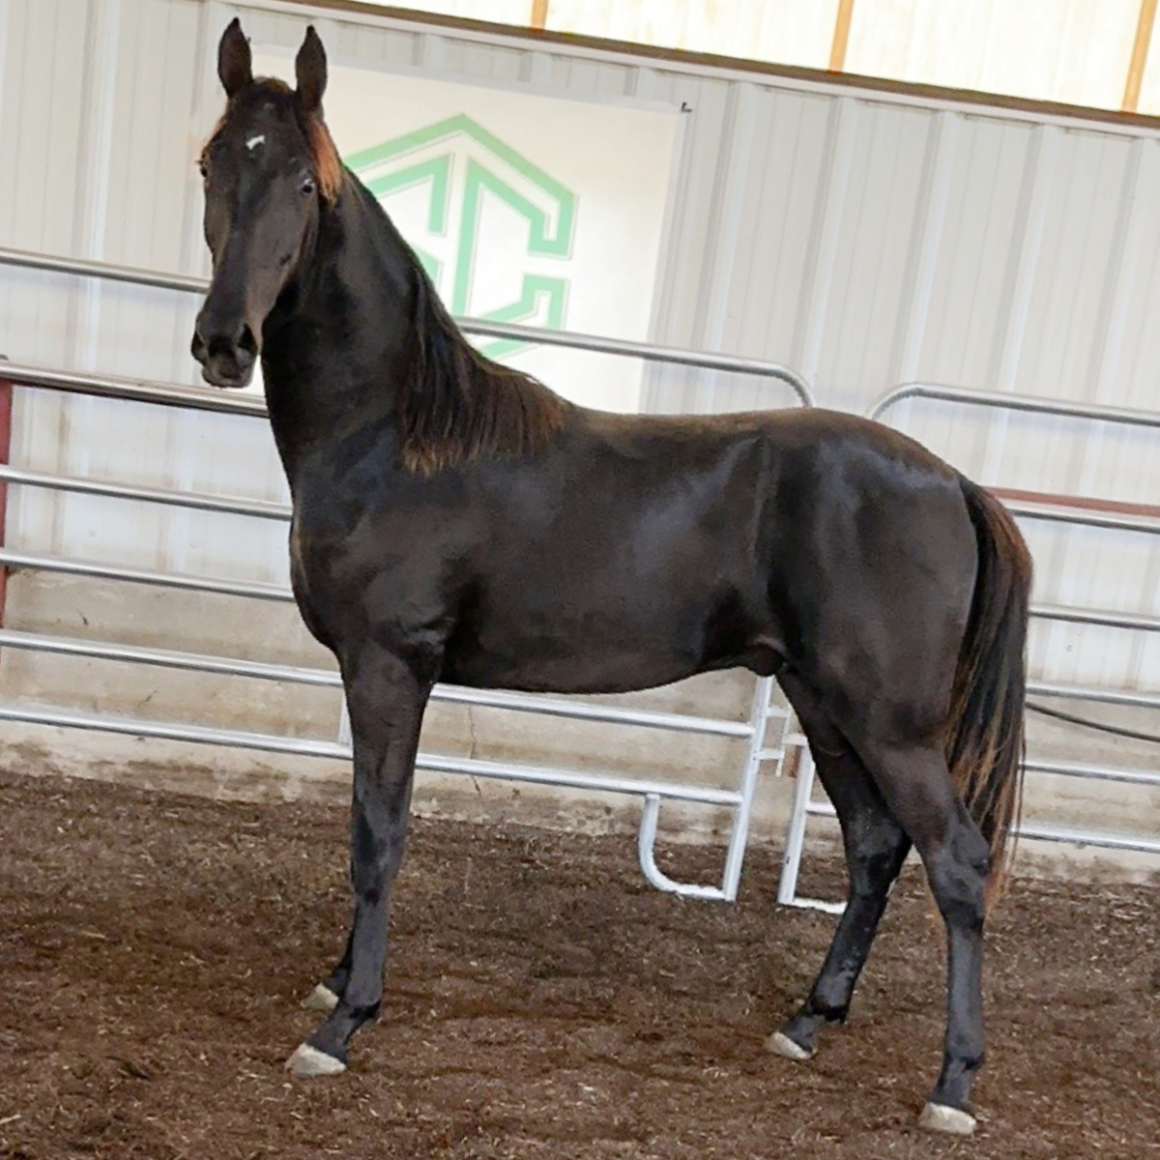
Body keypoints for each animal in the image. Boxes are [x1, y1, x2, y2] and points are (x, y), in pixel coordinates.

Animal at [191, 19, 1031, 1137]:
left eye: (300, 183)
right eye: (212, 165)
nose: (222, 344)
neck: (396, 434)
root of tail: (952, 482)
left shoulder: (389, 666)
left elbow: (379, 832)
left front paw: (344, 1020)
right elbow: (366, 821)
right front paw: (335, 981)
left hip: (888, 722)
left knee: (955, 863)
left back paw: (951, 1085)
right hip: (823, 701)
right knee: (871, 846)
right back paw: (806, 1022)